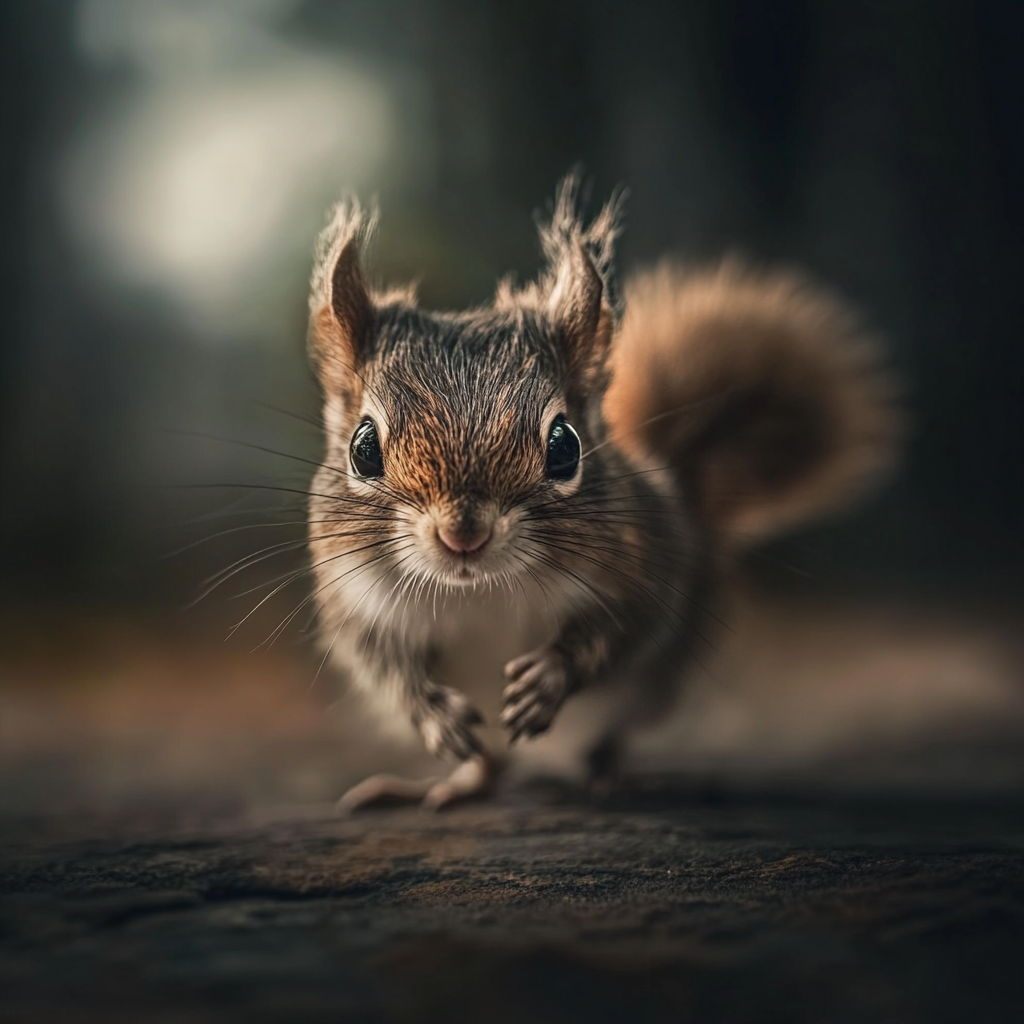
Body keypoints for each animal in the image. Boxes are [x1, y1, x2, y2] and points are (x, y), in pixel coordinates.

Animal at [305, 177, 901, 811]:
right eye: (364, 449)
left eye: (565, 446)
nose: (463, 534)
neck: (482, 589)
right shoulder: (356, 604)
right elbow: (387, 668)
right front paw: (432, 713)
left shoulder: (642, 576)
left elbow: (613, 636)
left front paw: (549, 680)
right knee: (491, 765)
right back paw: (444, 785)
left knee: (605, 746)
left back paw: (622, 779)